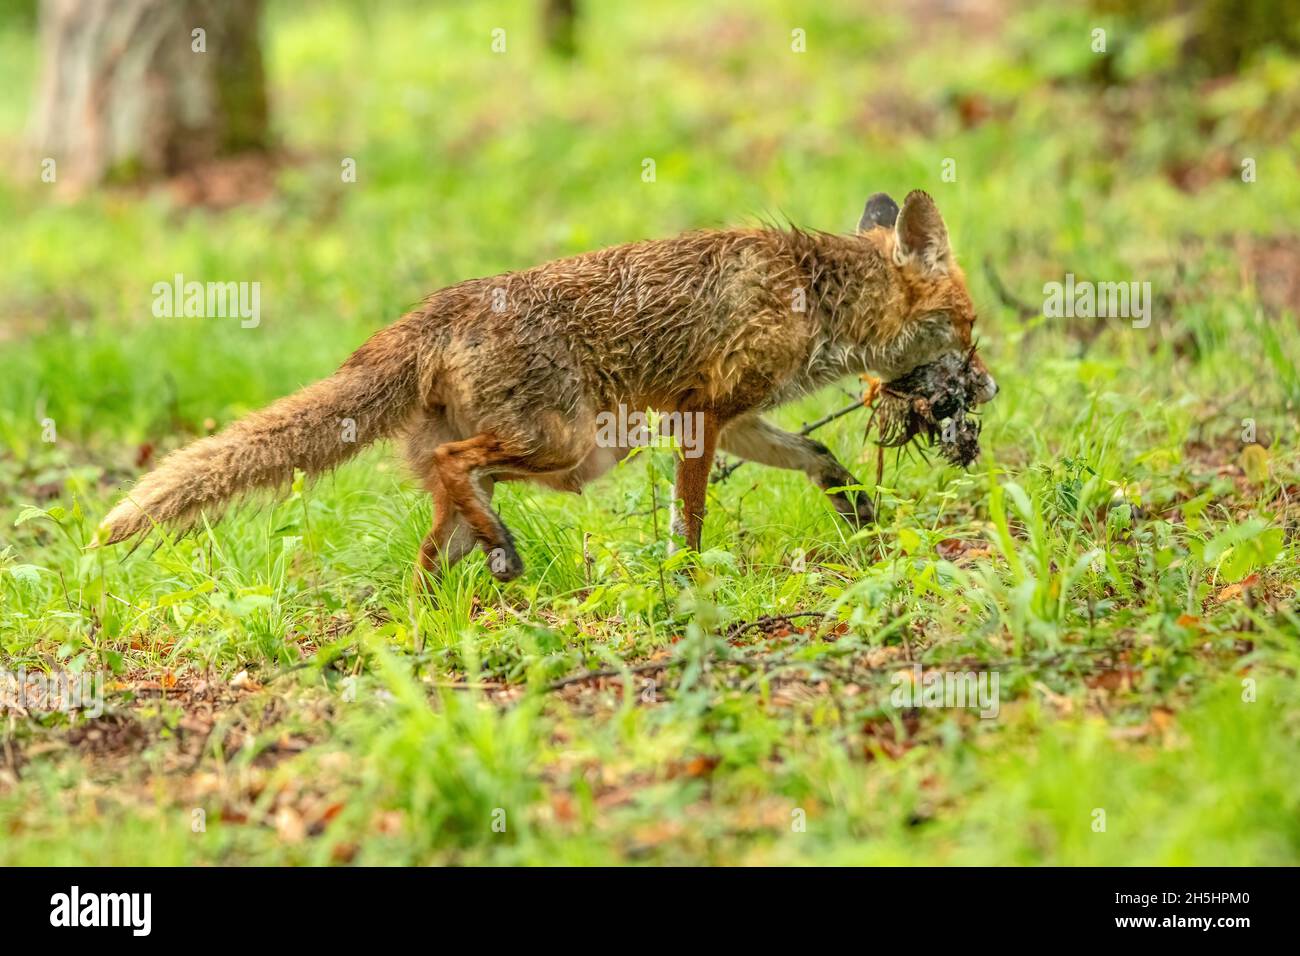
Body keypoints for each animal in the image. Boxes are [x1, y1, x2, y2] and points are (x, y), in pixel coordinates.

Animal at [99, 189, 997, 583]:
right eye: (970, 326)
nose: (988, 389)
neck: (811, 293)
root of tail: (431, 311)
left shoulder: (737, 417)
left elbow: (817, 457)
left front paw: (861, 514)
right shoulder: (703, 416)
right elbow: (692, 518)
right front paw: (688, 580)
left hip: (556, 458)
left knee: (432, 545)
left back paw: (448, 614)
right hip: (571, 447)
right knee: (460, 470)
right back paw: (501, 557)